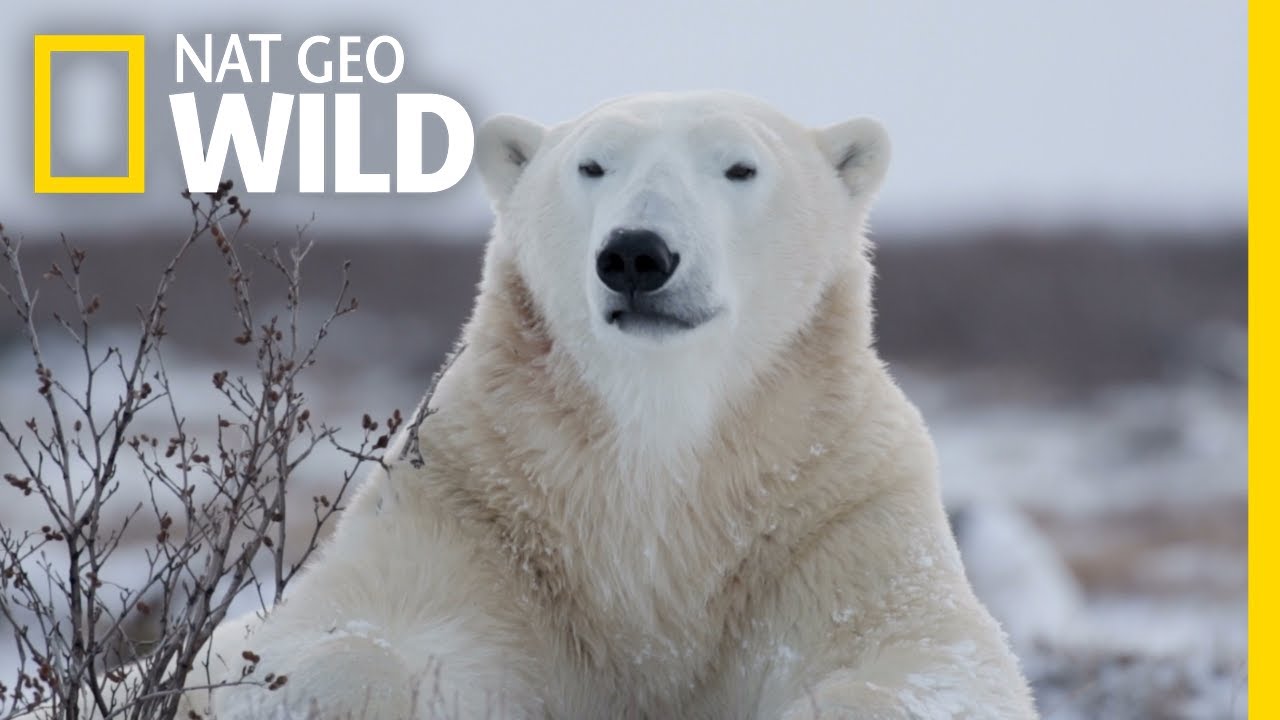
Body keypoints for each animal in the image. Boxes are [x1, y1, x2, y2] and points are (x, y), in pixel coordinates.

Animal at [33, 91, 1039, 719]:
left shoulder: (826, 512)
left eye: (740, 168)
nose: (637, 254)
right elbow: (339, 645)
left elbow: (924, 661)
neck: (658, 463)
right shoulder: (484, 511)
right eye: (591, 166)